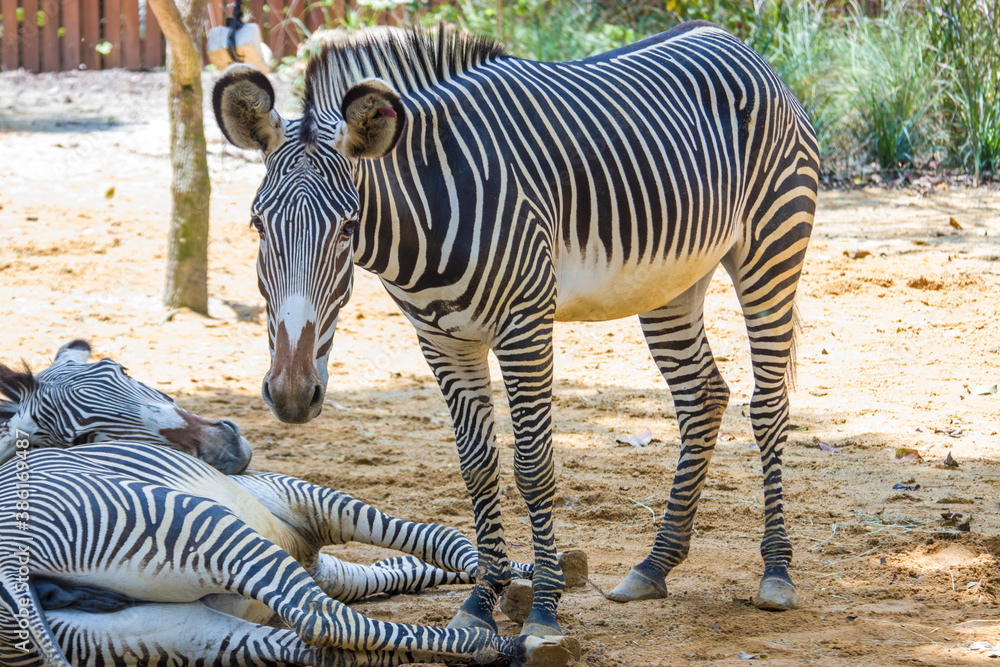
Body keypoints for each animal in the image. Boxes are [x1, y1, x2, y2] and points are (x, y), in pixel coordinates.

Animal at [0, 341, 584, 609]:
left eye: (118, 367)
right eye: (83, 440)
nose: (226, 447)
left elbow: (413, 561)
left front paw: (531, 573)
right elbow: (431, 549)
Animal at [0, 443, 575, 667]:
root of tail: (11, 560)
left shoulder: (322, 556)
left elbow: (400, 569)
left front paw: (534, 574)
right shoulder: (304, 498)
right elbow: (435, 542)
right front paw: (525, 578)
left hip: (156, 639)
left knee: (321, 648)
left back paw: (502, 647)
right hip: (194, 524)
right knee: (322, 620)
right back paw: (513, 643)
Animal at [213, 22, 819, 637]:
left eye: (348, 227)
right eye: (256, 224)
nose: (292, 394)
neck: (432, 211)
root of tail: (732, 41)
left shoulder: (524, 327)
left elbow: (532, 468)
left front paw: (545, 607)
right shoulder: (442, 341)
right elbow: (478, 467)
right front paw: (482, 600)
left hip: (772, 245)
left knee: (767, 406)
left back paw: (776, 572)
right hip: (672, 281)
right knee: (702, 397)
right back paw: (655, 565)